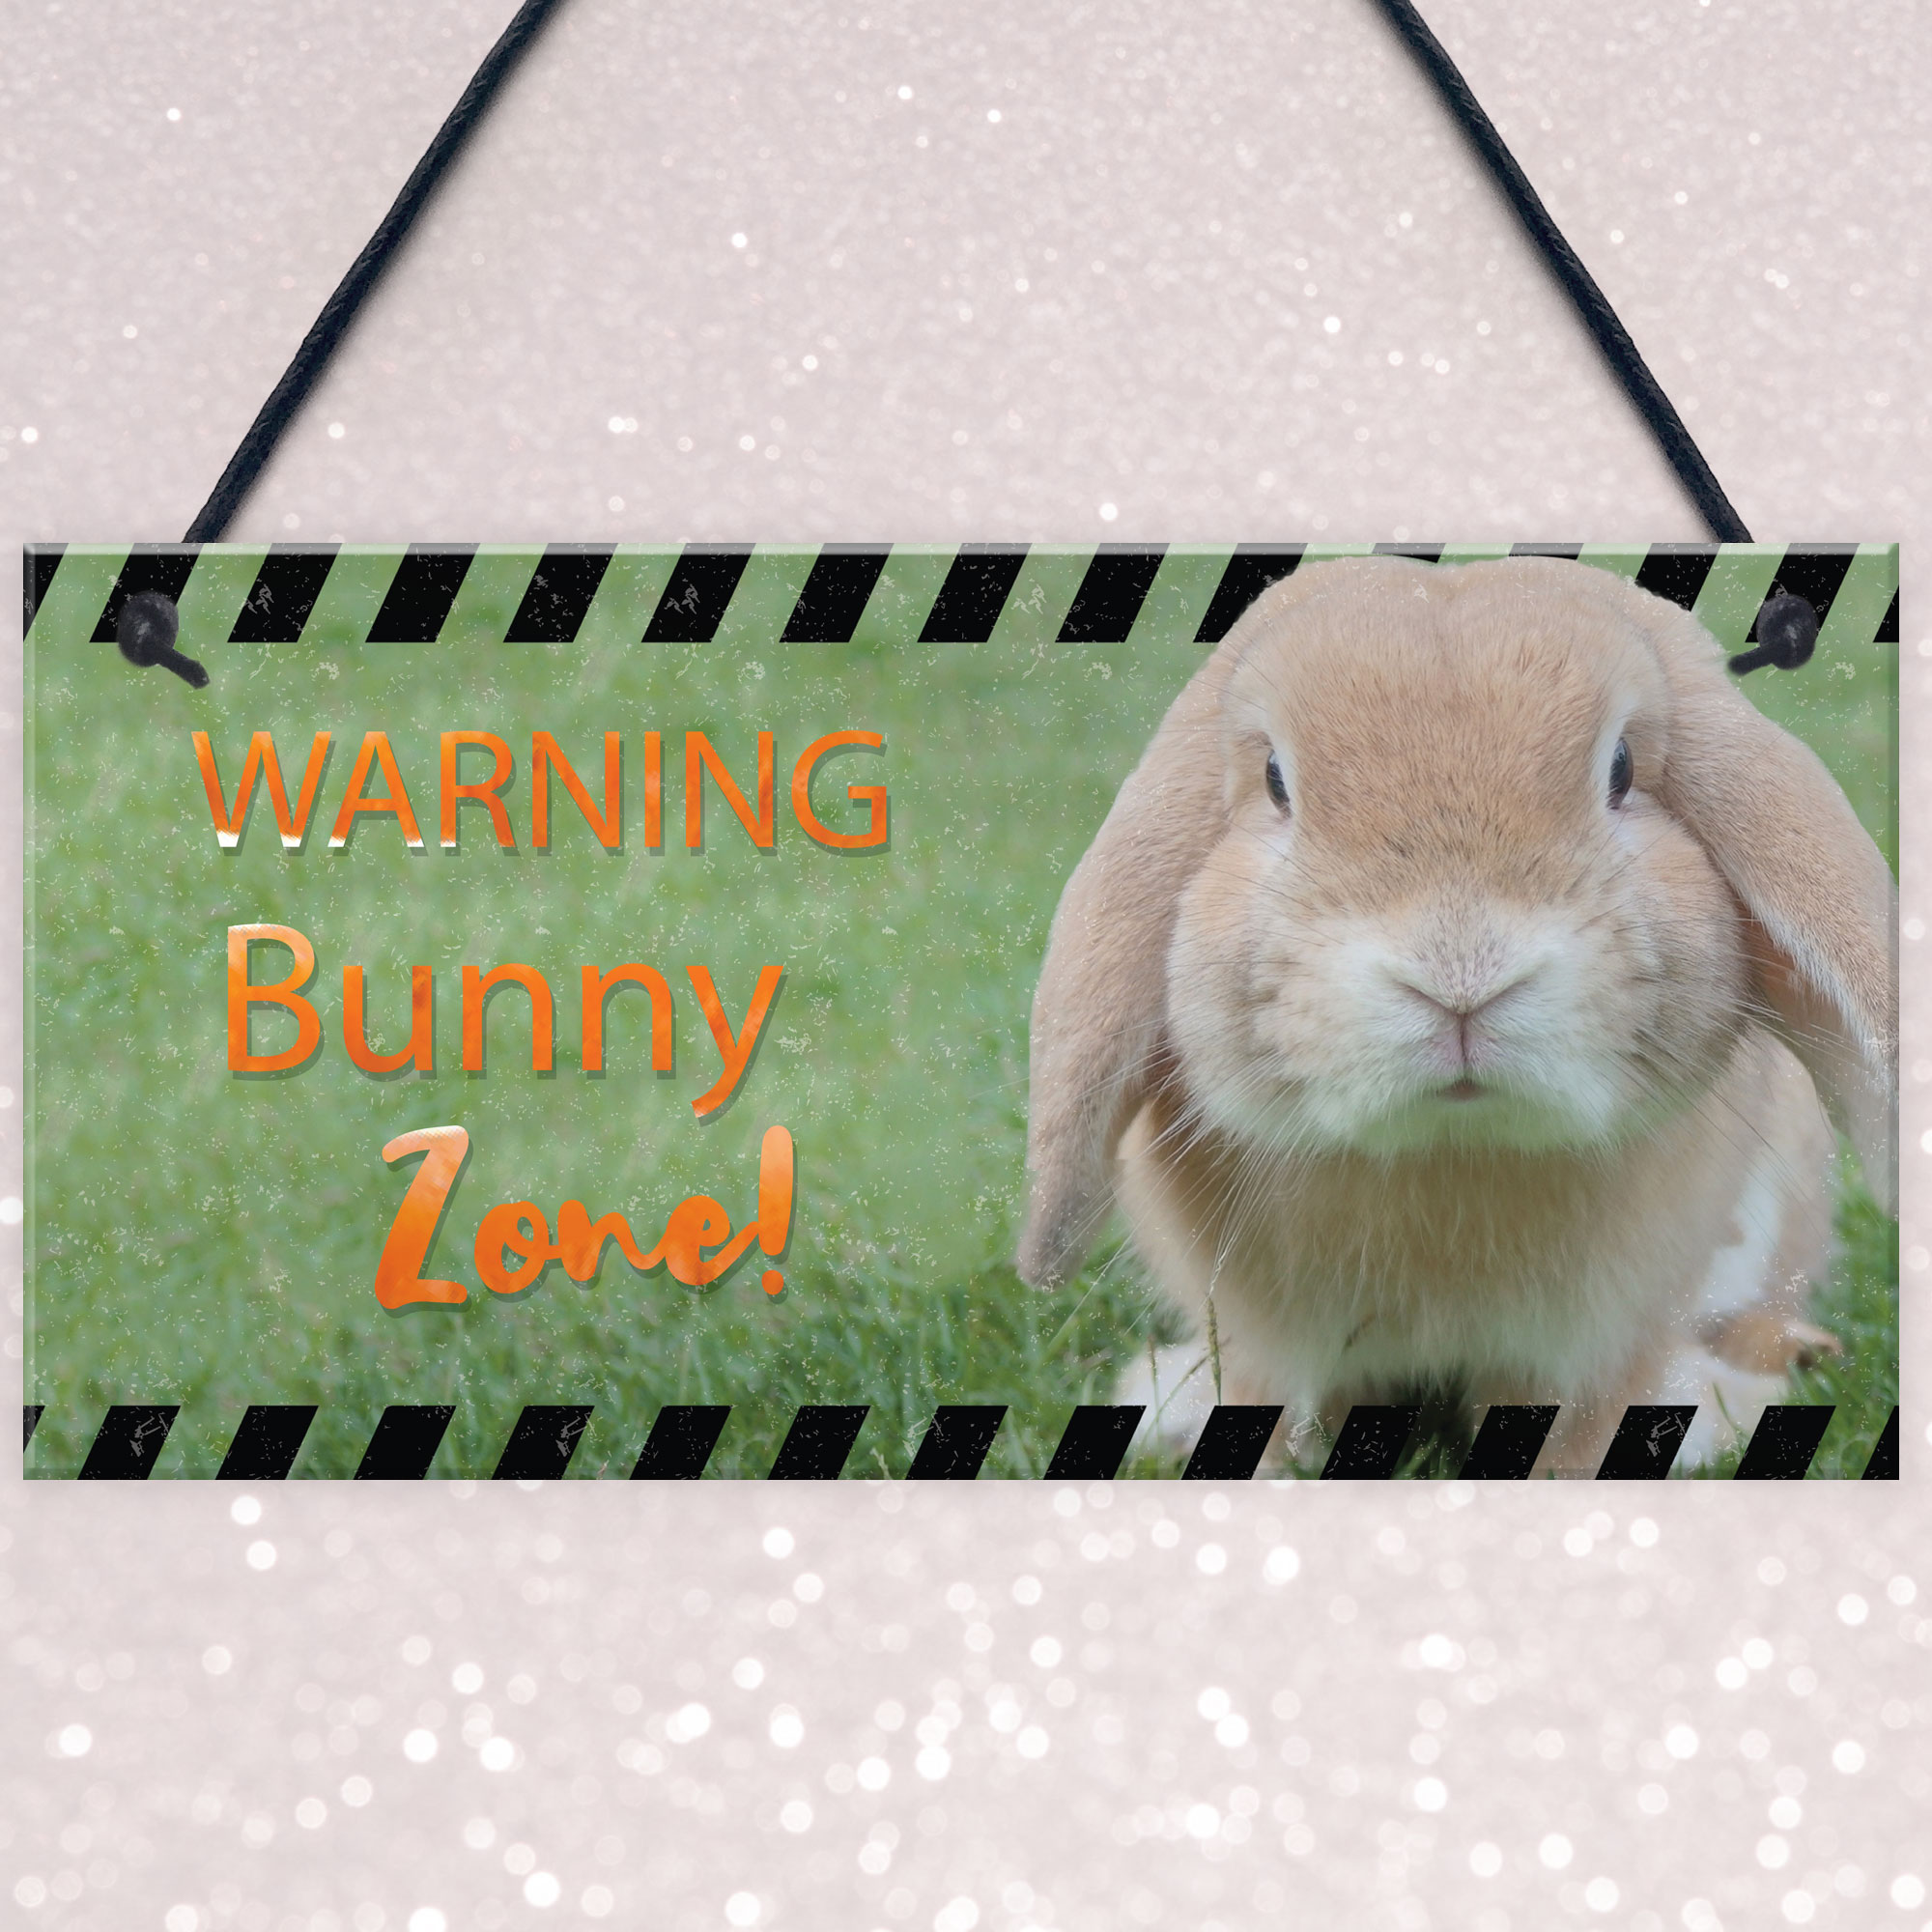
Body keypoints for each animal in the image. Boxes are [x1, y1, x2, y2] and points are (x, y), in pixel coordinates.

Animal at [1016, 554, 1896, 1476]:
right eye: (1275, 783)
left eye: (1620, 770)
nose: (1460, 975)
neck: (1451, 1148)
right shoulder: (1272, 1344)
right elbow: (1277, 1405)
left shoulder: (1603, 1341)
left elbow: (1578, 1418)